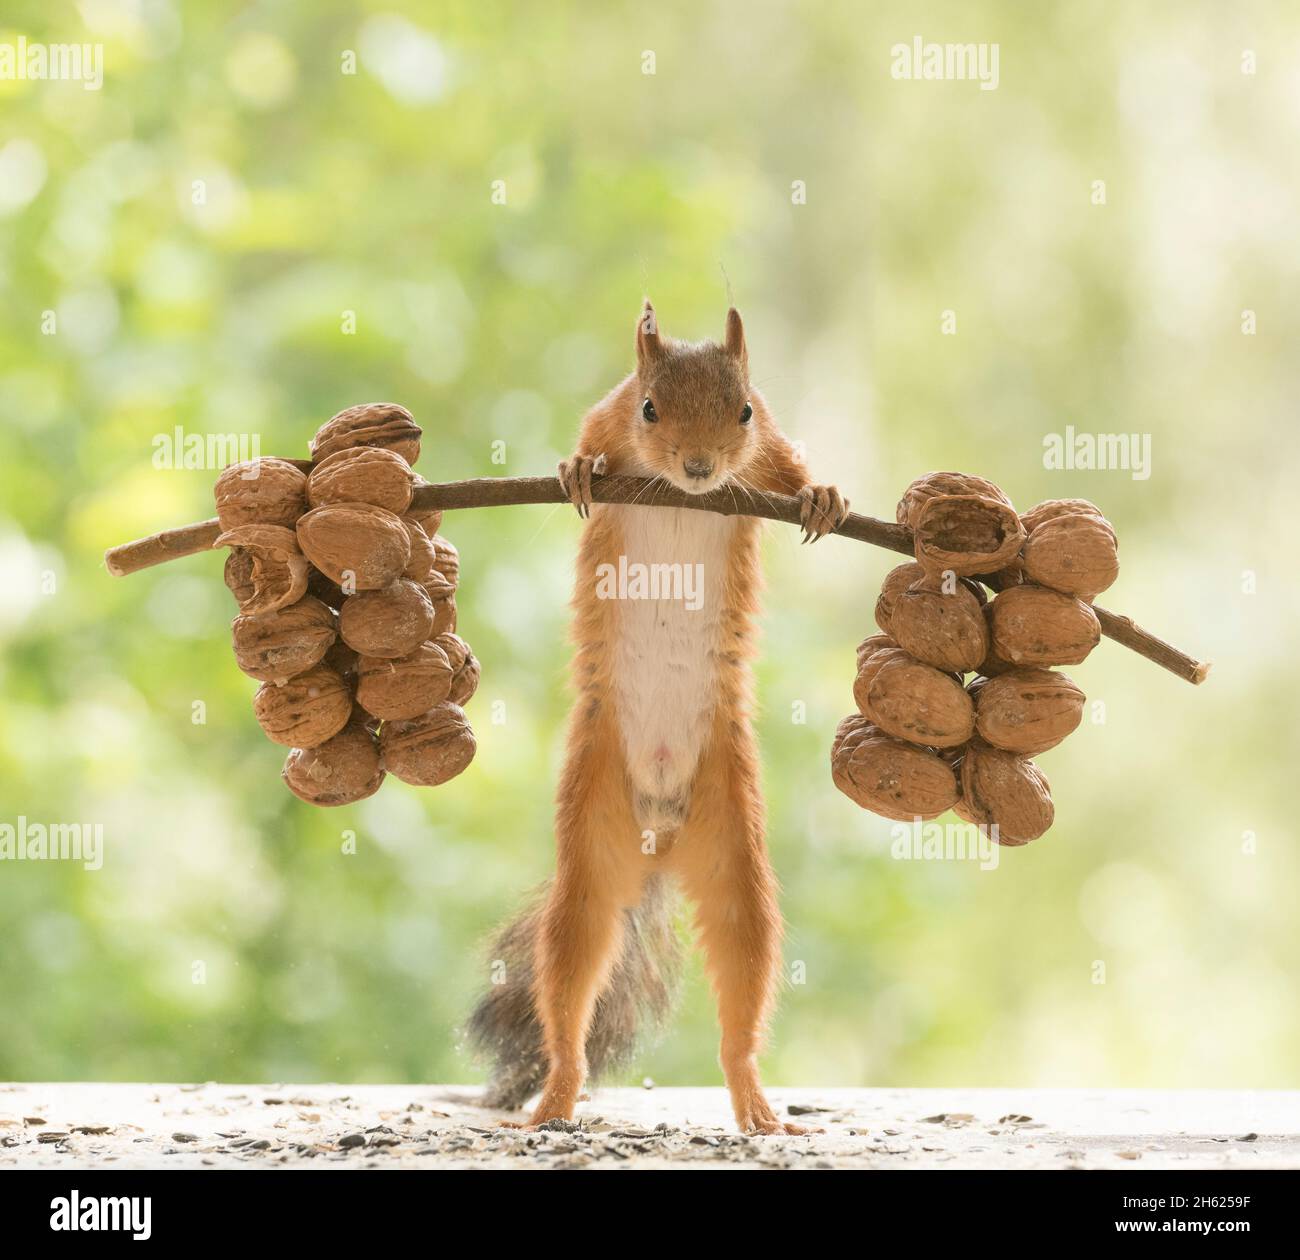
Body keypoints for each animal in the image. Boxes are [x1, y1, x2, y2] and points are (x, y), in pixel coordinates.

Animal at [466, 300, 849, 1134]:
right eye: (647, 407)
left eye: (744, 408)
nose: (700, 468)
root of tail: (662, 830)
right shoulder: (607, 420)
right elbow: (588, 446)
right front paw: (576, 471)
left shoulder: (767, 450)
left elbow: (791, 470)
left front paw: (824, 498)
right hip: (589, 845)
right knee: (571, 980)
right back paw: (556, 1099)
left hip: (734, 847)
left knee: (743, 976)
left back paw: (753, 1102)